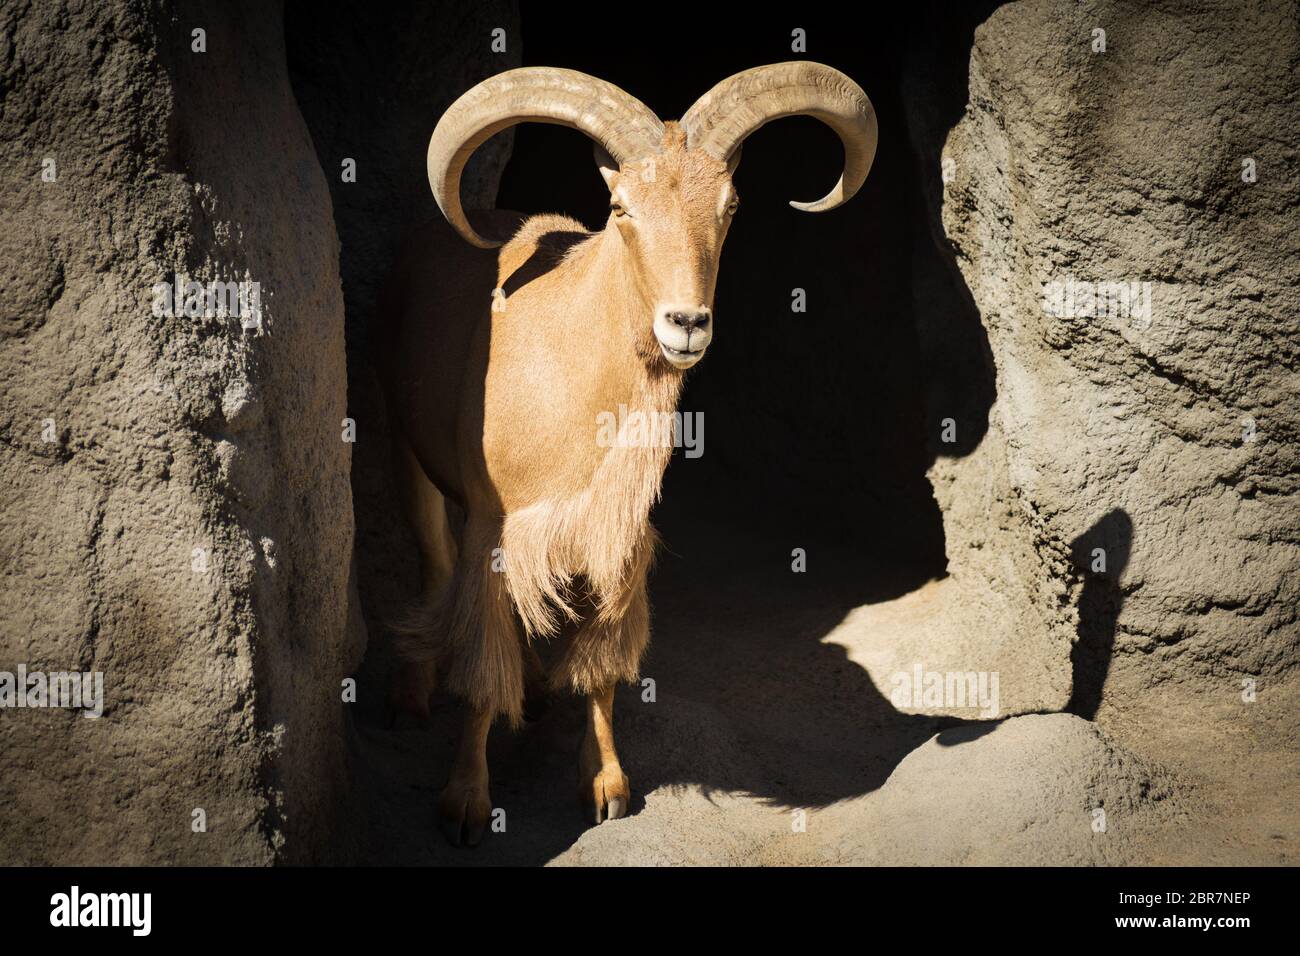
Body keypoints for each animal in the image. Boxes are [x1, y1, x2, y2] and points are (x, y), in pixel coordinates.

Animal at [381, 62, 877, 845]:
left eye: (730, 204)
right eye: (620, 207)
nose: (686, 323)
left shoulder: (617, 533)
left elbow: (603, 668)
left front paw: (608, 787)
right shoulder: (496, 526)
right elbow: (482, 672)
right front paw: (464, 801)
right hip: (406, 449)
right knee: (433, 565)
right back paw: (411, 693)